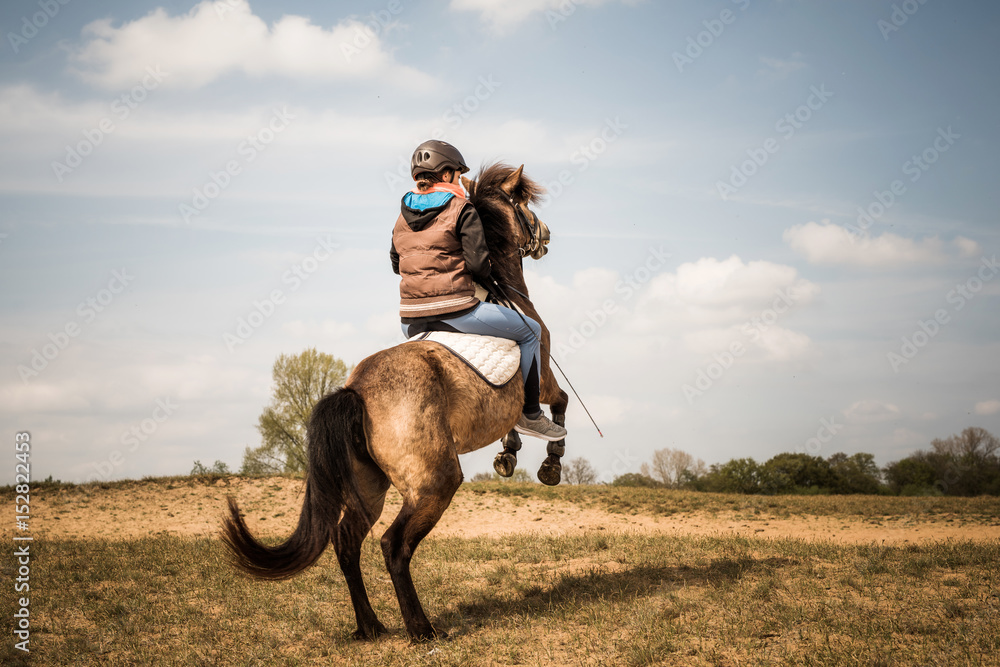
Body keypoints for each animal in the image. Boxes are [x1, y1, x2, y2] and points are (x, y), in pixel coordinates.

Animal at [221, 163, 570, 641]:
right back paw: (421, 629)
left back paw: (371, 626)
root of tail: (356, 392)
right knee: (393, 545)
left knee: (347, 541)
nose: (546, 235)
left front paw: (508, 456)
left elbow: (516, 427)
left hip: (369, 486)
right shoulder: (543, 375)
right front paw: (547, 462)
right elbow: (557, 407)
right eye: (523, 205)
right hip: (434, 483)